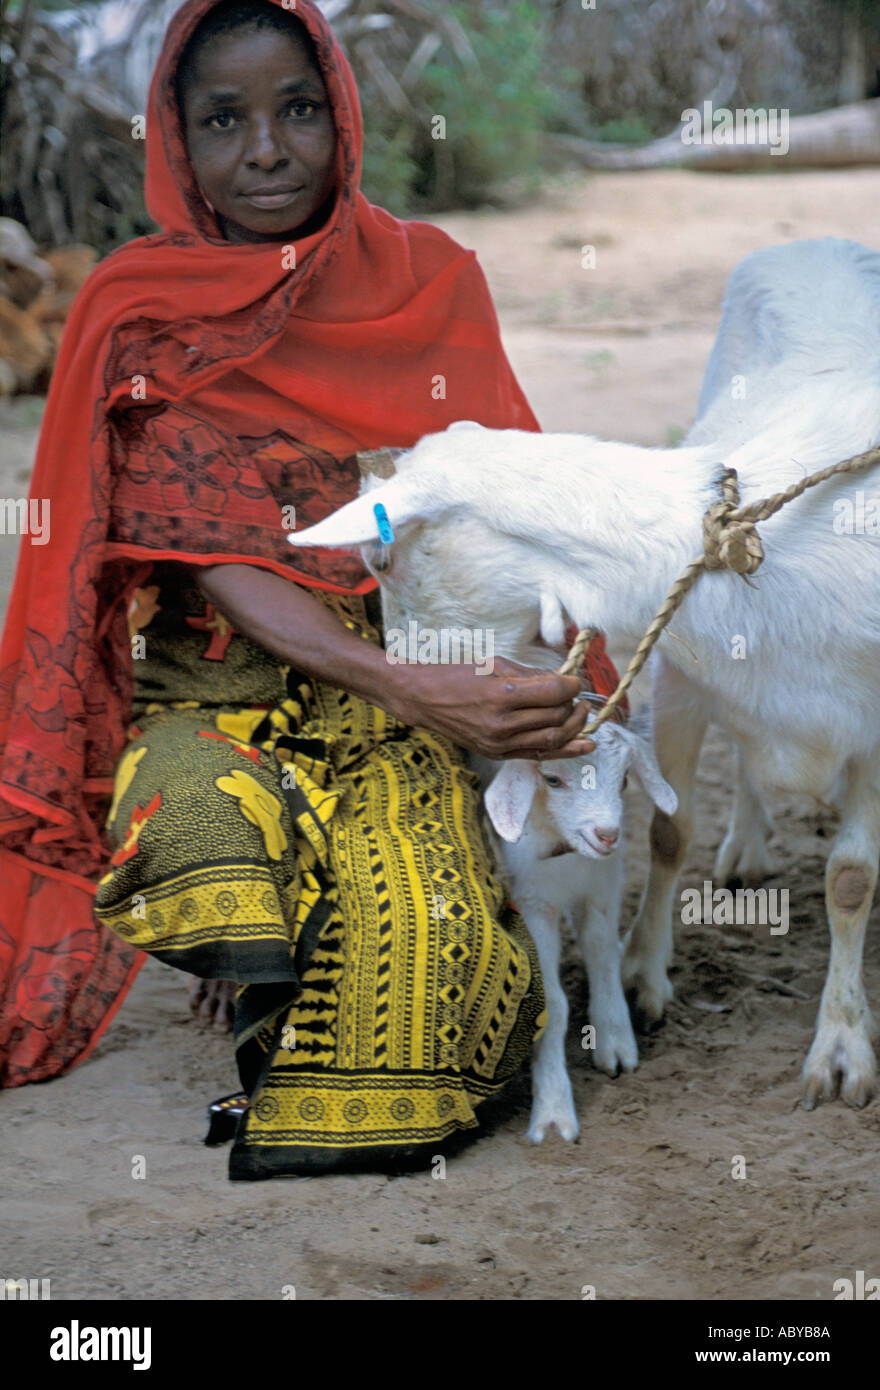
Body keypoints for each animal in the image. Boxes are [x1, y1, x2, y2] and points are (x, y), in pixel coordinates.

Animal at [289, 237, 880, 1110]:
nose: (397, 675)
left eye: (381, 558)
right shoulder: (682, 674)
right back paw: (745, 845)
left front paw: (840, 1048)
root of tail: (815, 242)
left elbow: (849, 879)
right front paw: (642, 974)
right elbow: (670, 829)